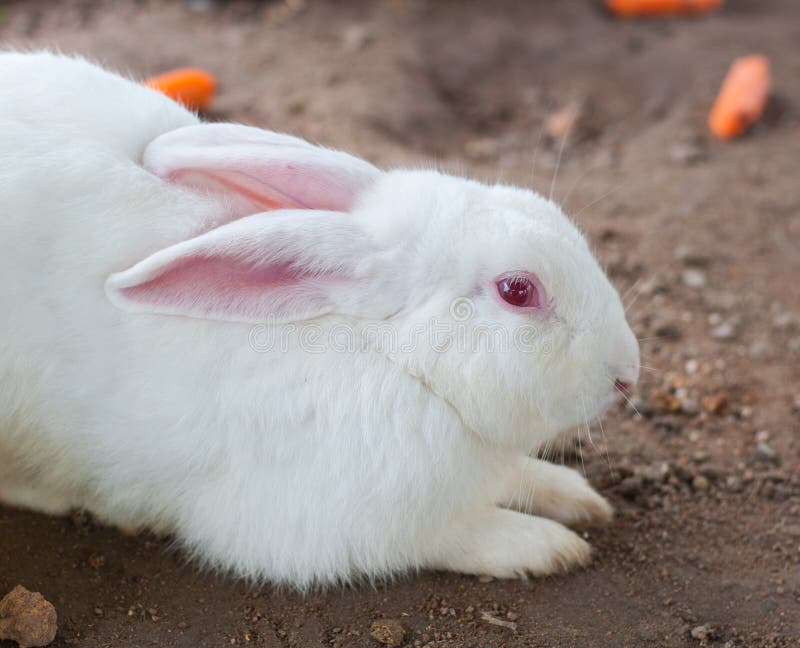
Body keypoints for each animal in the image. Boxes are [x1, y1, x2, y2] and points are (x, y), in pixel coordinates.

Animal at [0, 52, 640, 588]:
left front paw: (578, 497)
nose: (627, 373)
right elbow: (463, 534)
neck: (393, 358)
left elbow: (519, 479)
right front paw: (550, 546)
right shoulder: (340, 527)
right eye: (517, 291)